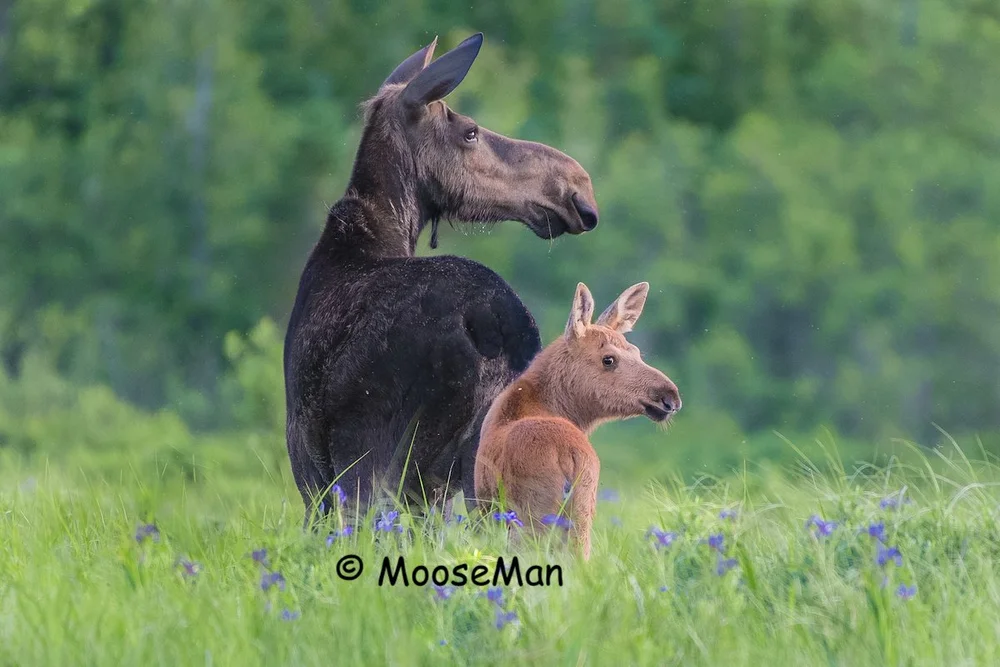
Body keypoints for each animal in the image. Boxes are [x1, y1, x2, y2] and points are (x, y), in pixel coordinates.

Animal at [474, 282, 681, 559]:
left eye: (637, 353)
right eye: (609, 359)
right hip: (581, 515)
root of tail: (567, 454)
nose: (670, 396)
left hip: (532, 517)